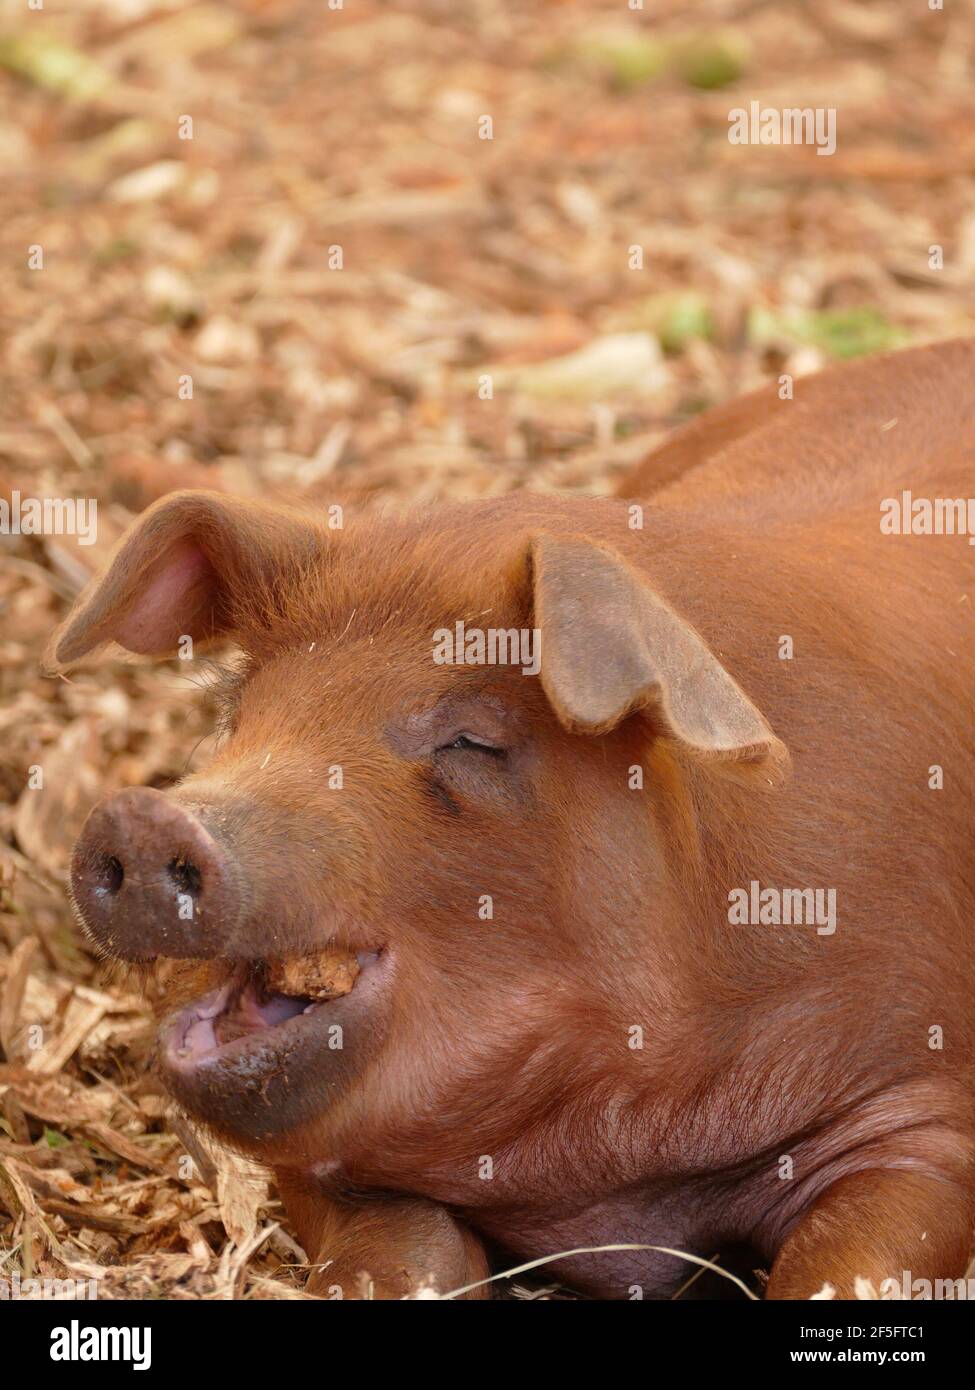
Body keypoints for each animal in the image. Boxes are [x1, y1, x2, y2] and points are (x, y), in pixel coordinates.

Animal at [48, 338, 975, 1299]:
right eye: (243, 710)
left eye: (471, 740)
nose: (143, 819)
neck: (611, 1166)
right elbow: (400, 1249)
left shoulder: (922, 1113)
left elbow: (853, 1257)